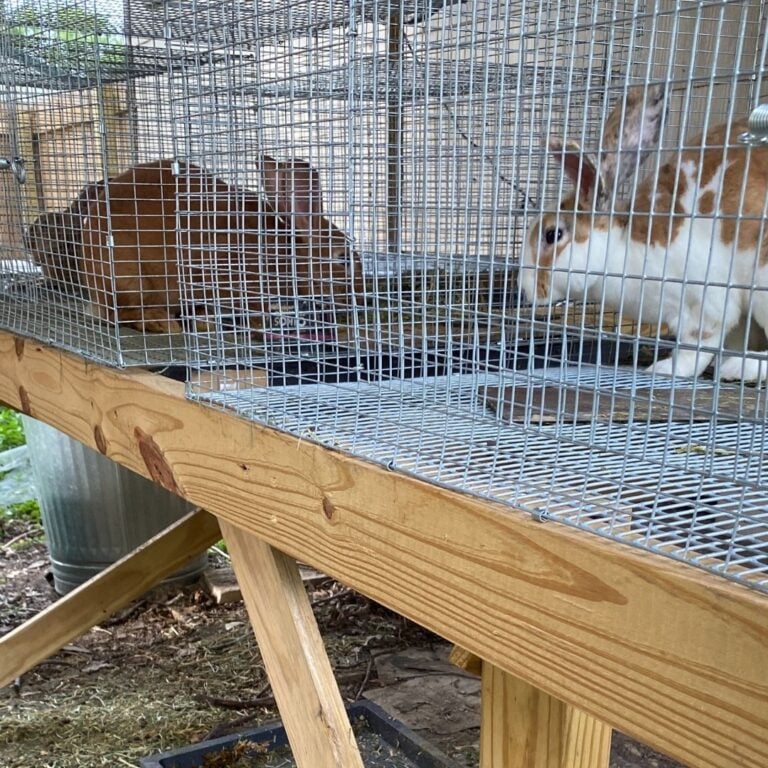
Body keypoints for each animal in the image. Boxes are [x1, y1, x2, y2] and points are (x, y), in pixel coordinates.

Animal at [79, 158, 362, 335]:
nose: (360, 293)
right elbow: (255, 312)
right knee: (121, 314)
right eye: (343, 258)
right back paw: (163, 323)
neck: (286, 254)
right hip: (129, 279)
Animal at [520, 84, 768, 383]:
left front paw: (664, 369)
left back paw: (741, 369)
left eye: (552, 235)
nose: (525, 288)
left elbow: (694, 348)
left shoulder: (705, 305)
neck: (621, 246)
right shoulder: (737, 320)